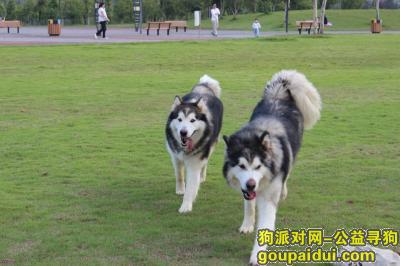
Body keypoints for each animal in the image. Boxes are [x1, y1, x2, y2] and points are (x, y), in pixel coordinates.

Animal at [165, 75, 222, 214]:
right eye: (179, 119)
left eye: (192, 120)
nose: (183, 132)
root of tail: (204, 88)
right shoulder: (175, 156)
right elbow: (179, 175)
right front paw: (180, 189)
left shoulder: (195, 163)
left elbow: (191, 186)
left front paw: (186, 205)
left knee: (205, 163)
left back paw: (202, 176)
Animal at [222, 70, 322, 264]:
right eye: (241, 166)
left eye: (258, 166)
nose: (251, 184)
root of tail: (278, 94)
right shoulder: (247, 191)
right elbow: (249, 206)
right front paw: (247, 225)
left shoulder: (269, 197)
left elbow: (265, 225)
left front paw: (257, 254)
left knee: (287, 173)